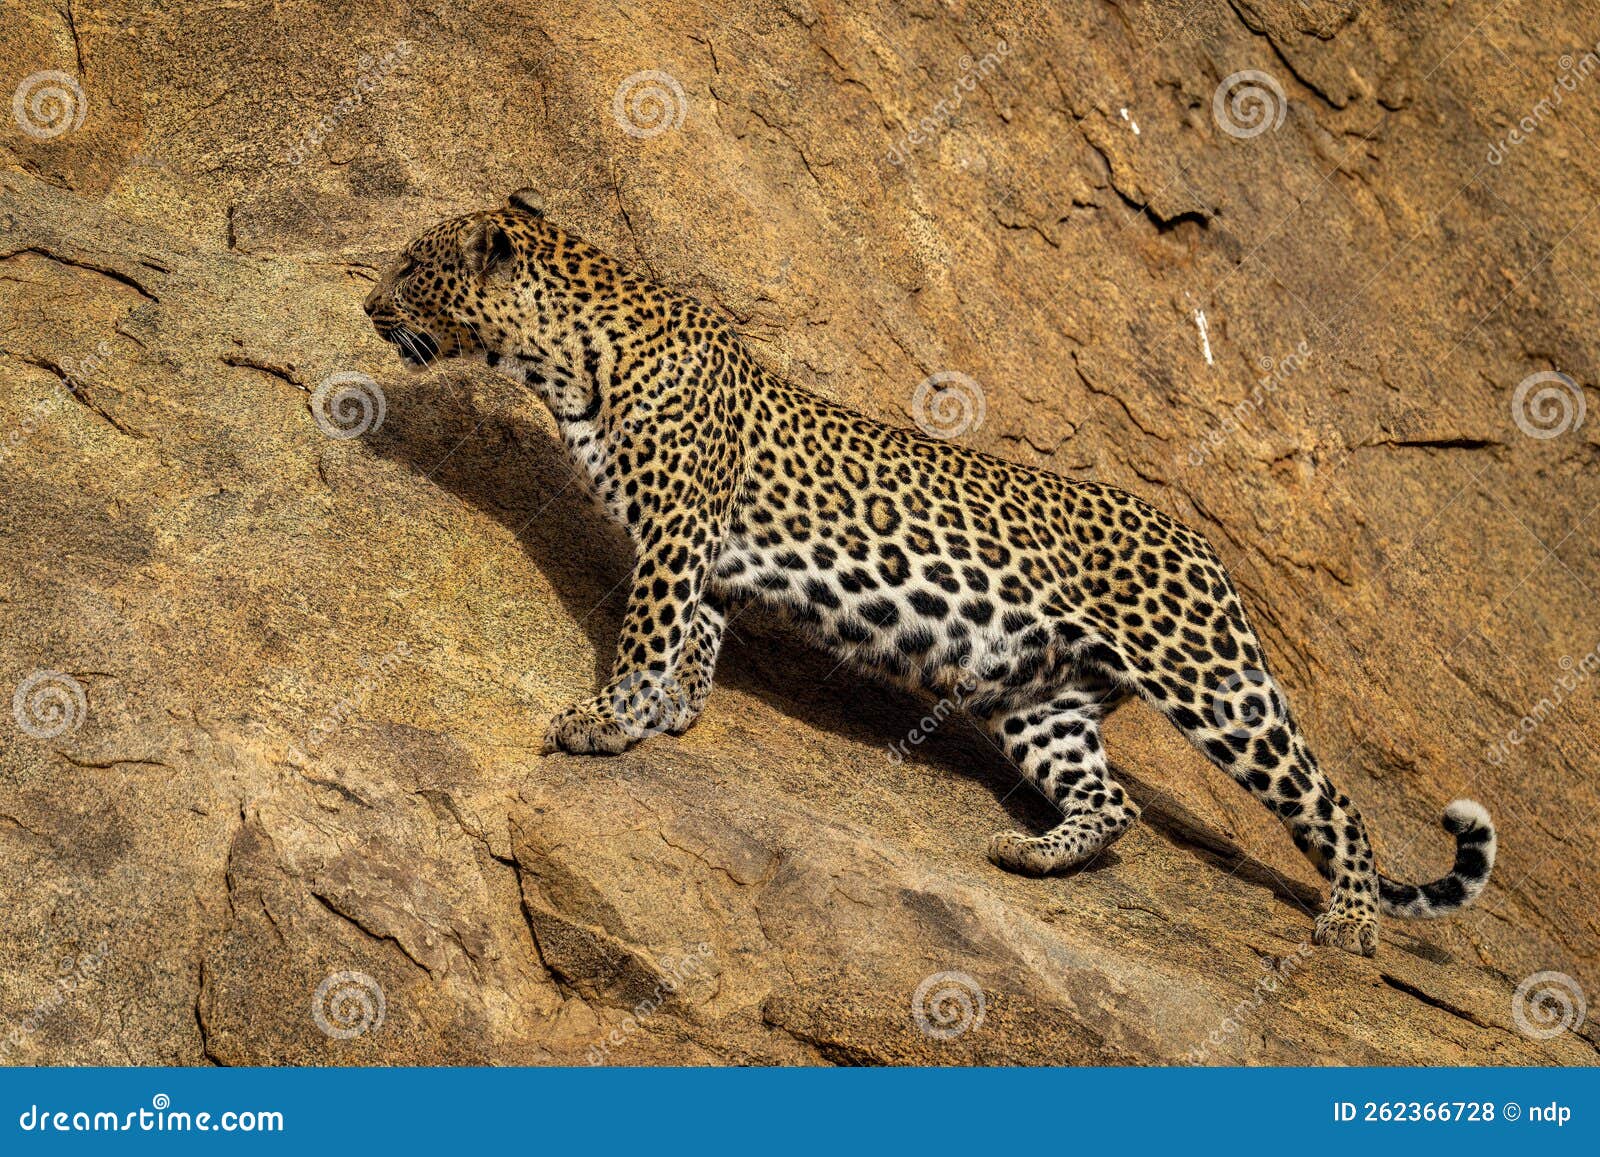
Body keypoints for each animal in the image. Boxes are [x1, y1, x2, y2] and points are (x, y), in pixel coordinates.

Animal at [361, 189, 1496, 956]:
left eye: (413, 267)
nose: (367, 305)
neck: (562, 359)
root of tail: (1206, 548)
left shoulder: (679, 528)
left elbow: (647, 630)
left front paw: (605, 722)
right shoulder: (706, 553)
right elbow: (698, 635)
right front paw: (673, 711)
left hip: (1211, 681)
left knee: (1331, 801)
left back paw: (1351, 922)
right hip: (1041, 701)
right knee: (1115, 803)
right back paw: (1035, 853)